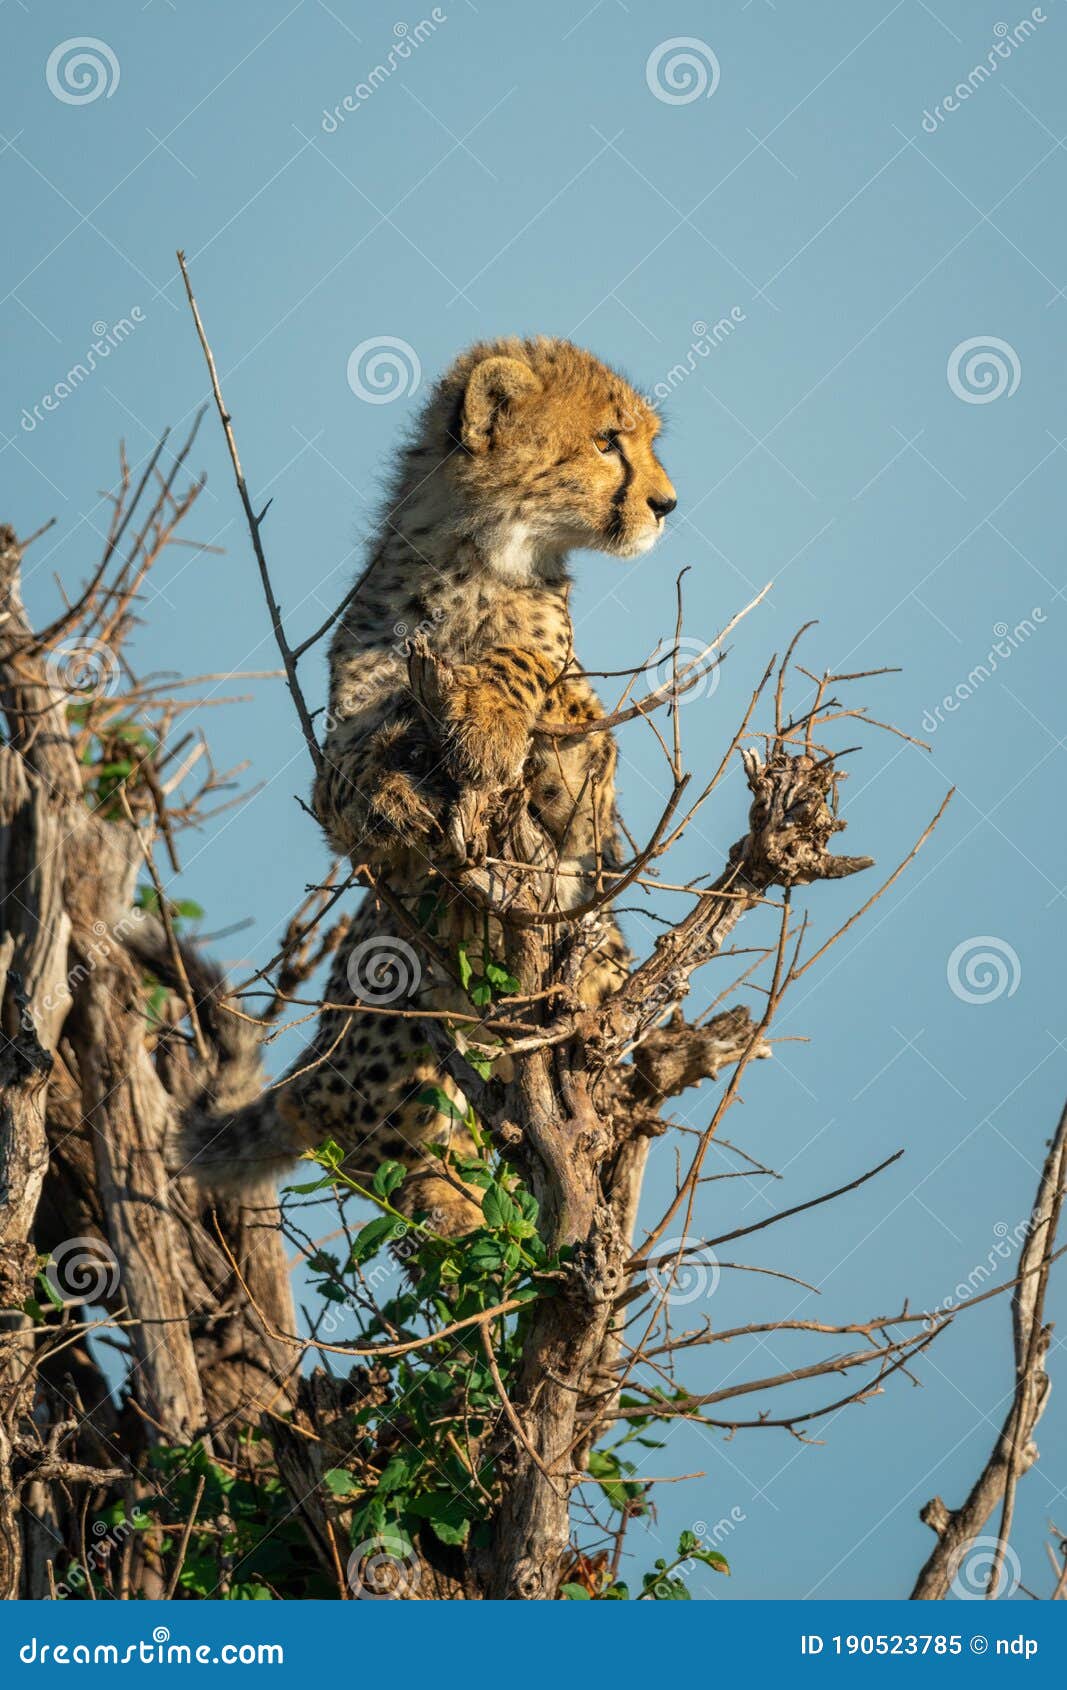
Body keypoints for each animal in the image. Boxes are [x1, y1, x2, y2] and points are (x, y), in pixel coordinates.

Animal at [178, 336, 677, 1234]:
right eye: (605, 441)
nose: (666, 504)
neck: (478, 555)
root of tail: (305, 1072)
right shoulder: (341, 748)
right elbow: (349, 771)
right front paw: (397, 783)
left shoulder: (583, 781)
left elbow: (535, 672)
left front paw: (486, 715)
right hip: (396, 995)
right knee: (377, 1144)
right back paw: (448, 1202)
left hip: (594, 952)